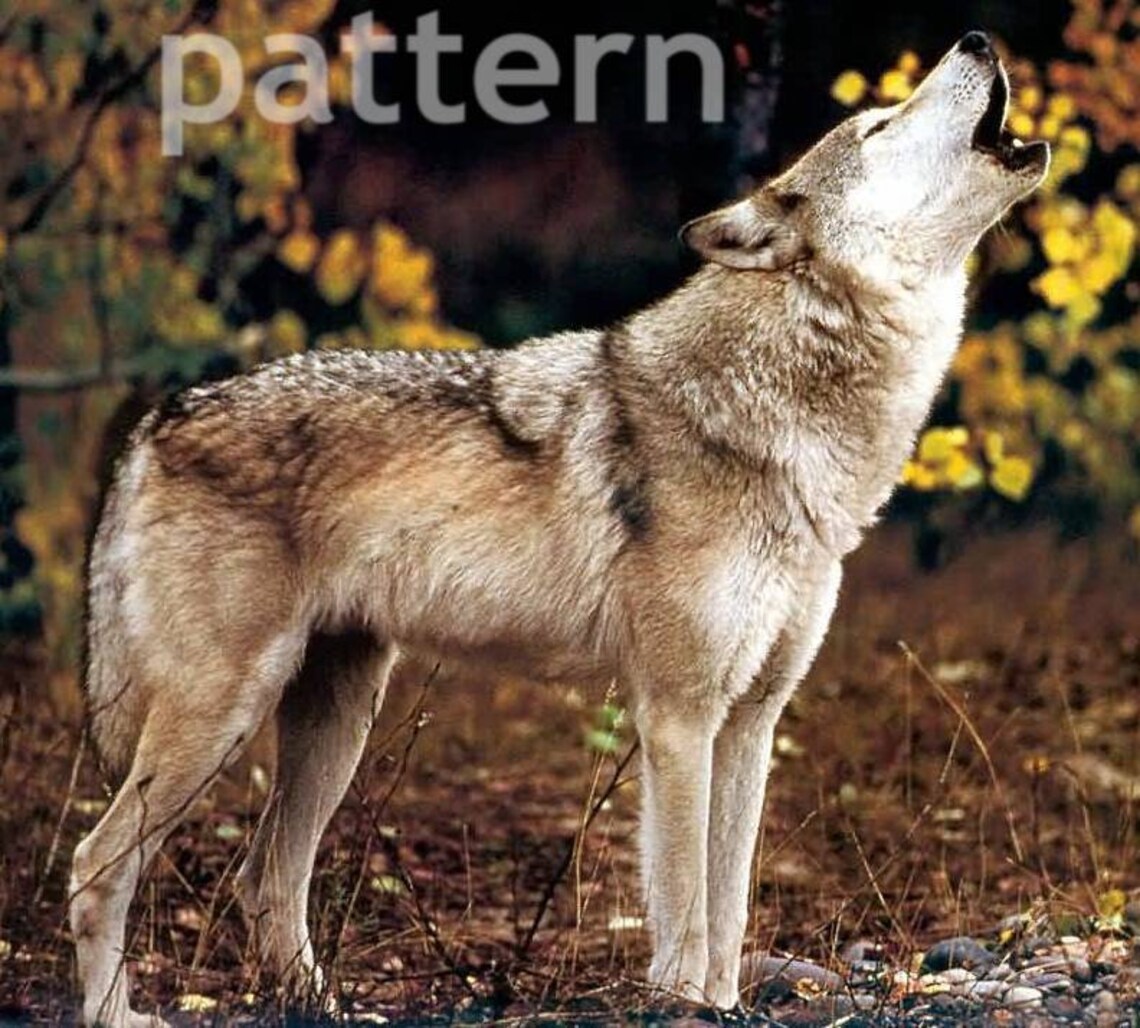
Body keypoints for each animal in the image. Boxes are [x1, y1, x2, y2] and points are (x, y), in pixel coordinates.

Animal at [70, 32, 1047, 1025]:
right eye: (878, 125)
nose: (976, 40)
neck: (784, 420)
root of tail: (161, 415)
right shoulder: (678, 716)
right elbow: (687, 907)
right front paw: (684, 1006)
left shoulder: (751, 721)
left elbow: (731, 908)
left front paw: (725, 1005)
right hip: (221, 715)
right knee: (94, 866)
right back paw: (116, 1010)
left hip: (337, 720)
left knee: (263, 876)